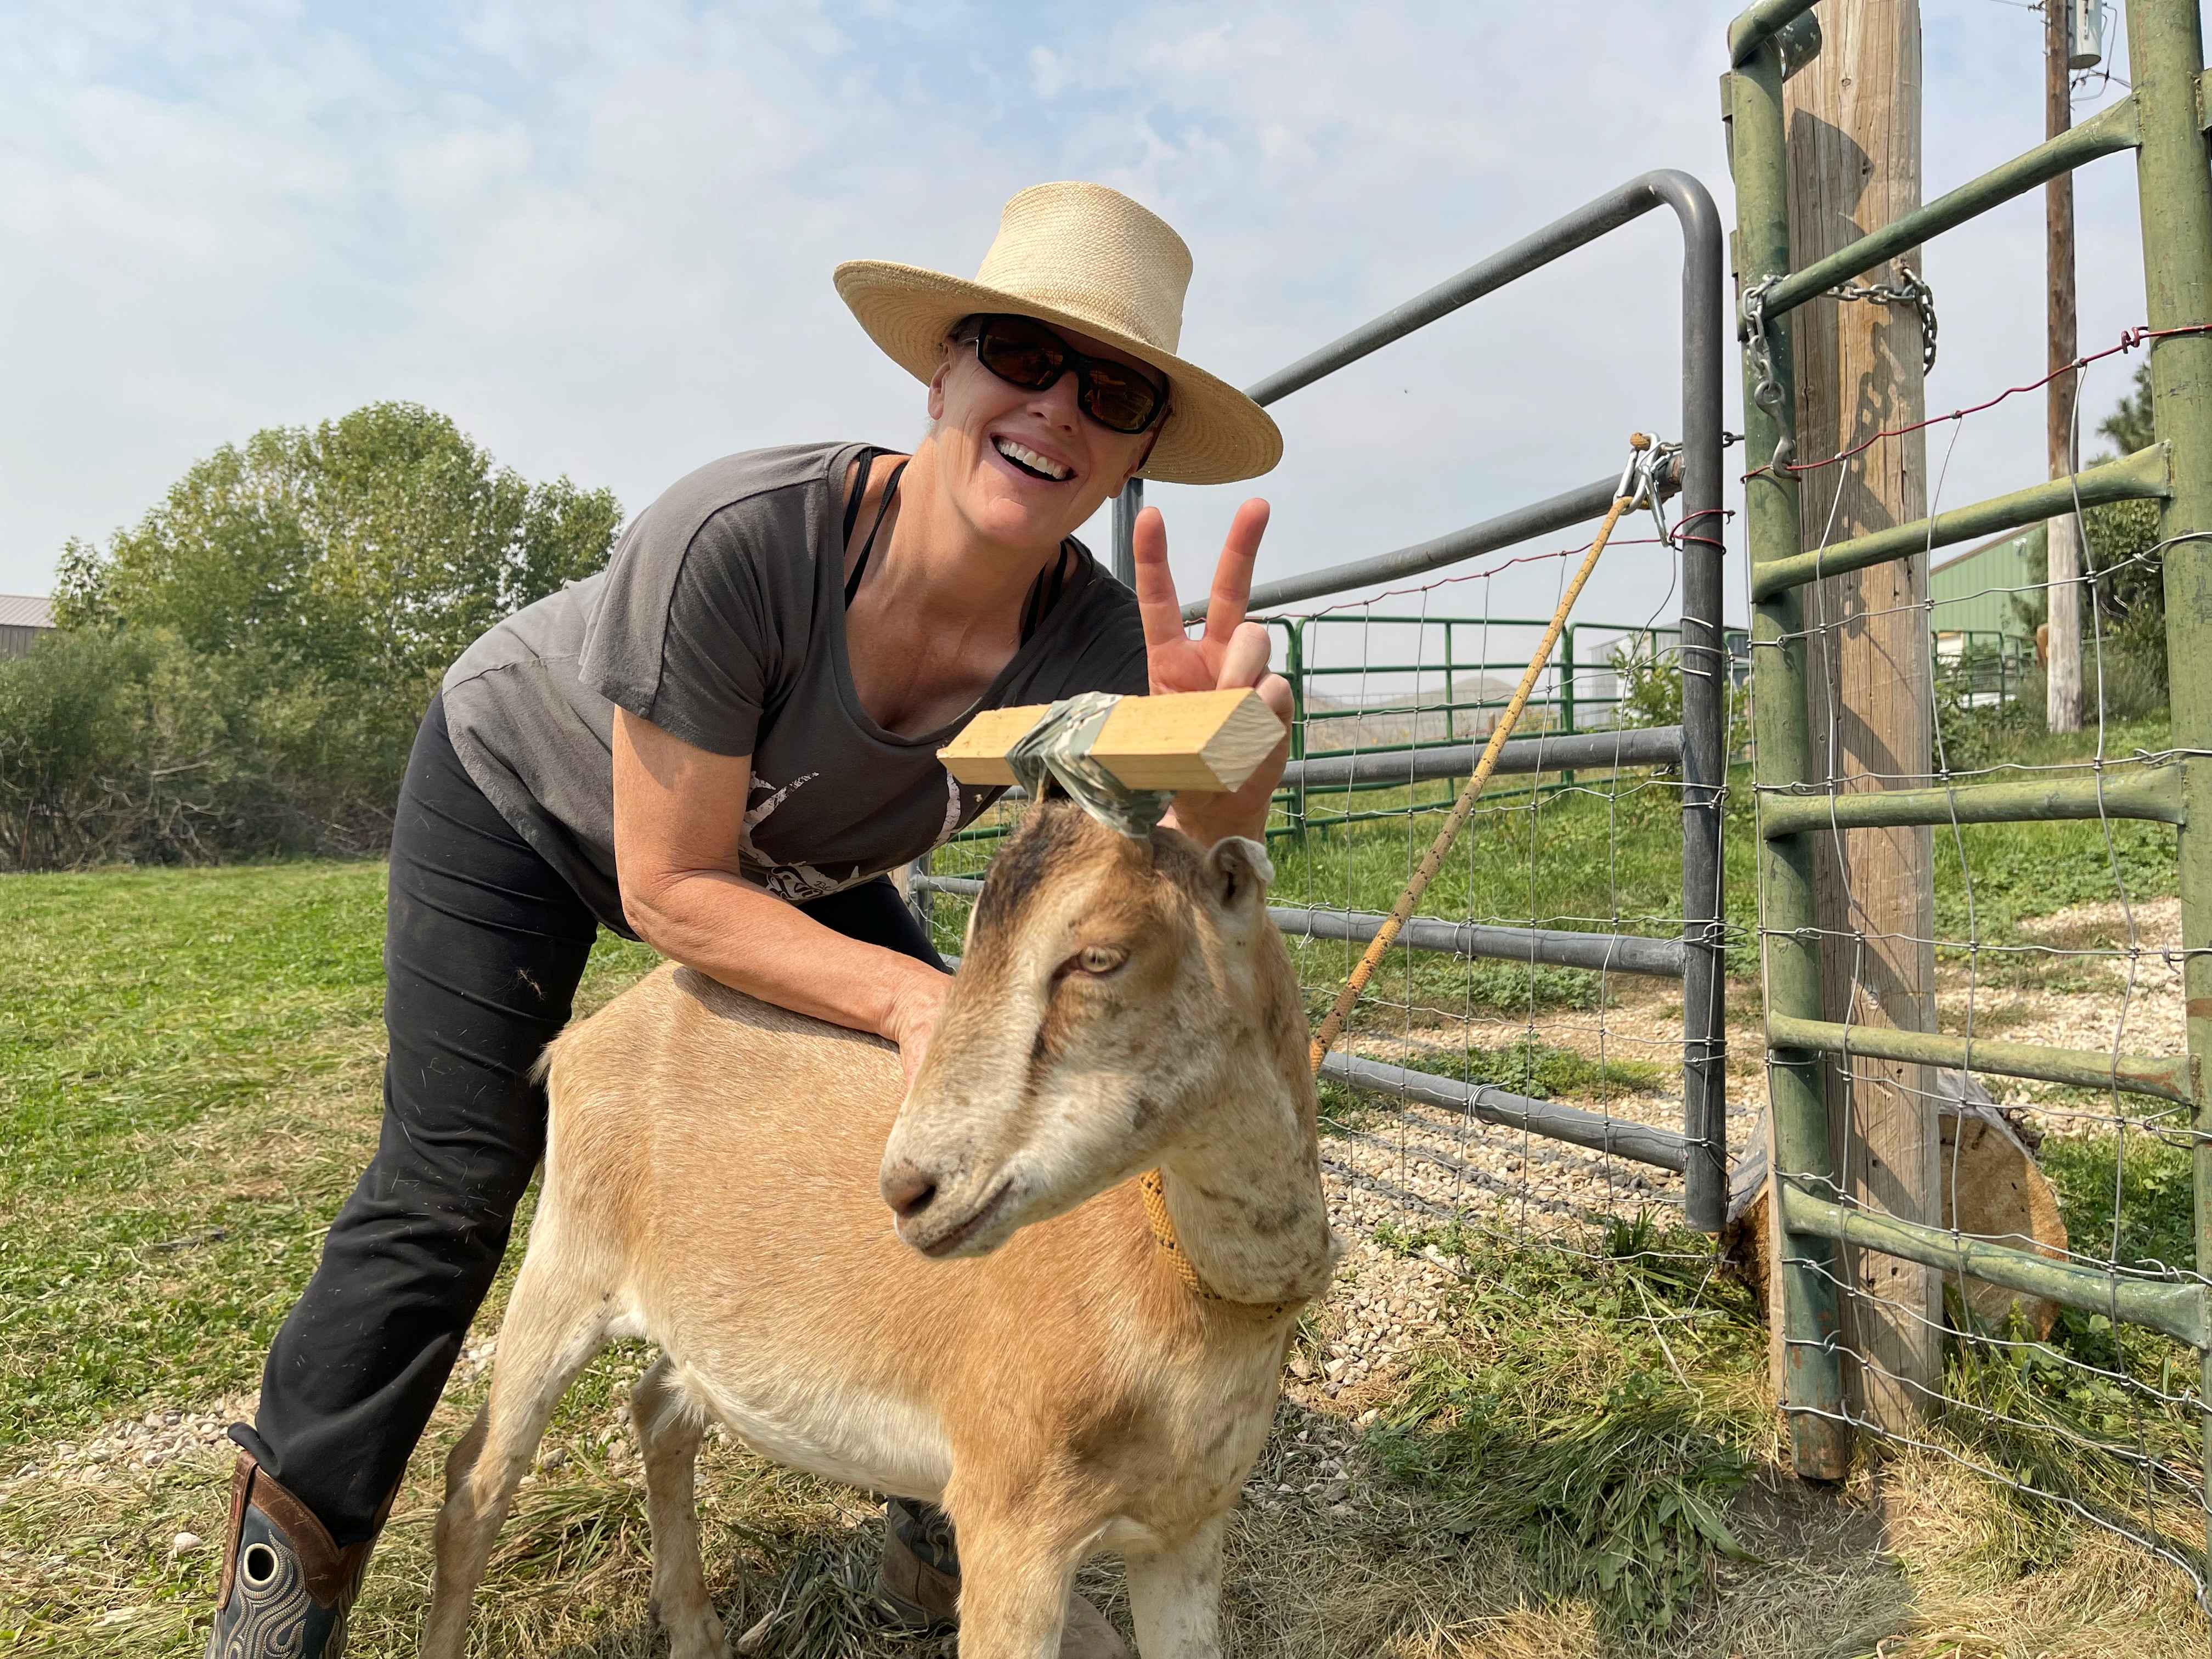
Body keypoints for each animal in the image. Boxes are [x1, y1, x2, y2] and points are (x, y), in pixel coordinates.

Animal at [420, 802, 1336, 1658]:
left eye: (1100, 955)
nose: (910, 1187)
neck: (1173, 1296)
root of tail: (578, 1039)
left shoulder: (1187, 1526)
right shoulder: (1013, 1519)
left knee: (658, 1408)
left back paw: (696, 1629)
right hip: (566, 1255)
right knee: (476, 1478)